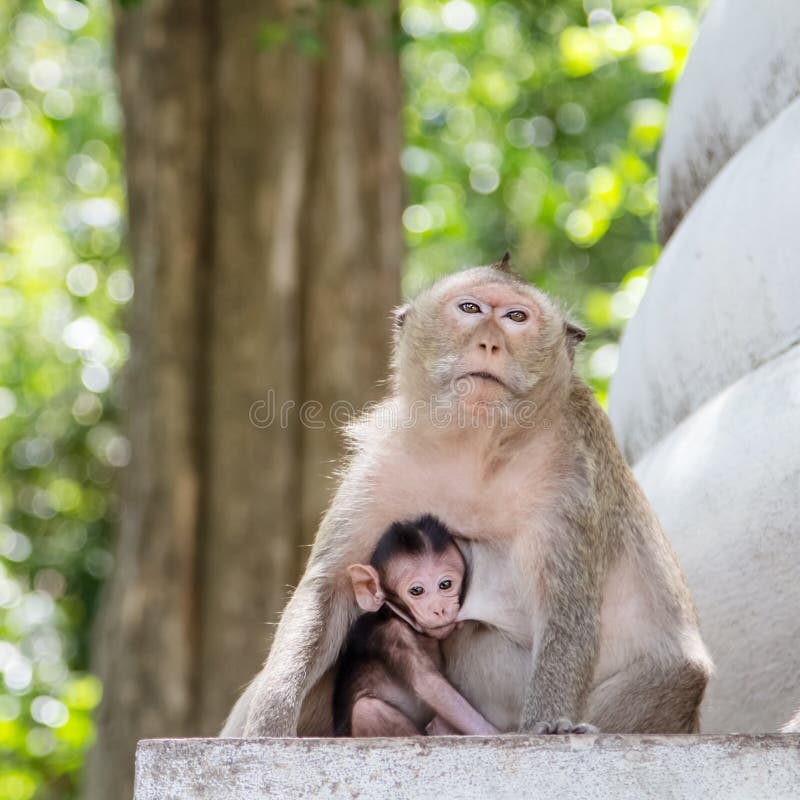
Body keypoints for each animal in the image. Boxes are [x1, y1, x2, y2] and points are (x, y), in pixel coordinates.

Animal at [333, 514, 499, 737]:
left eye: (445, 585)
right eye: (417, 591)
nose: (439, 609)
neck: (399, 616)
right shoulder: (392, 634)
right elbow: (430, 684)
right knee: (366, 709)